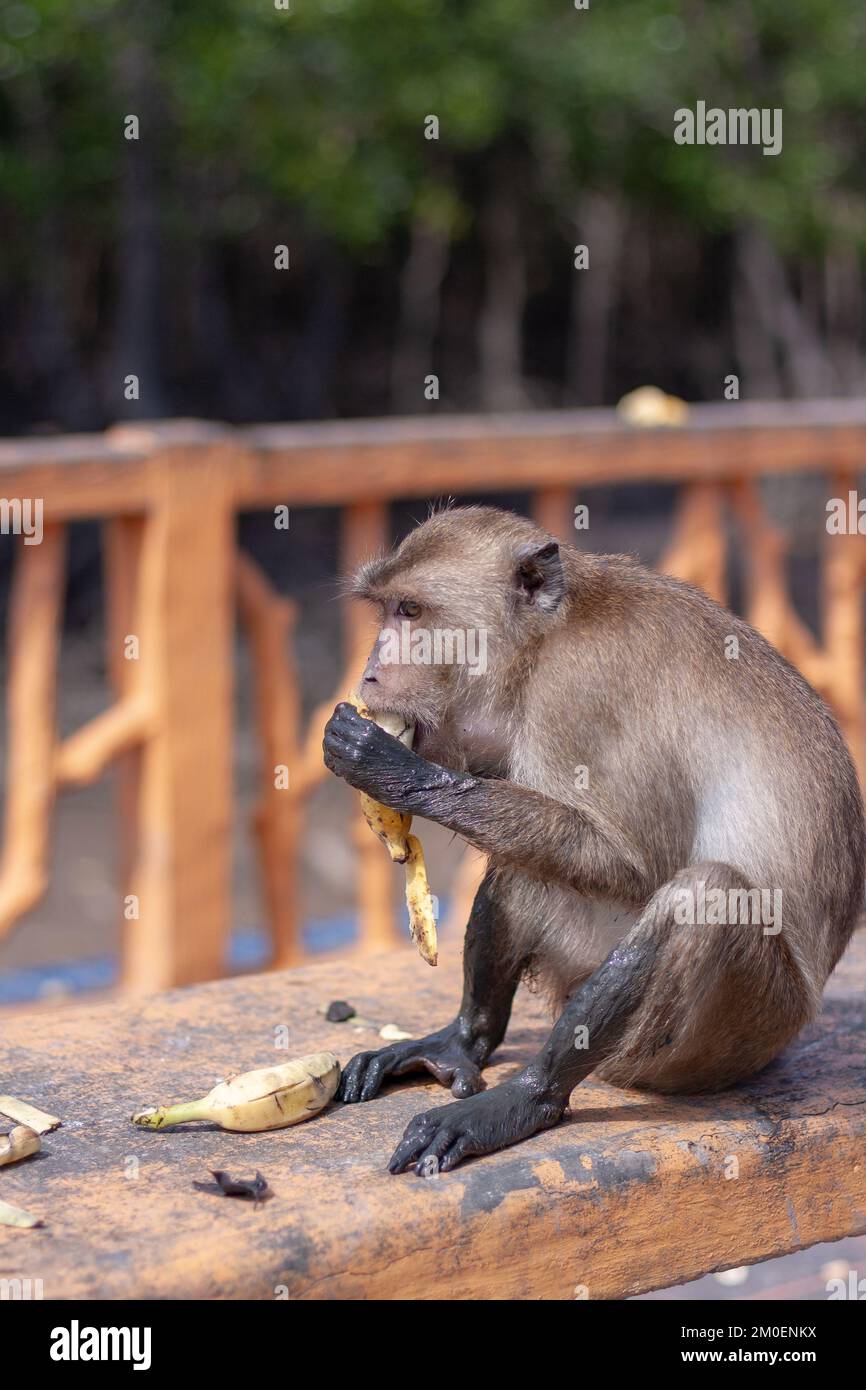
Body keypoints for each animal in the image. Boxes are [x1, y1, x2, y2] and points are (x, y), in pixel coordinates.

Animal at [323, 504, 865, 1176]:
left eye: (411, 611)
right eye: (387, 611)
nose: (370, 673)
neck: (544, 642)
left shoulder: (581, 696)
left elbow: (636, 863)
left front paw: (396, 771)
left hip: (738, 1038)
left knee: (706, 894)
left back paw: (534, 1097)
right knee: (526, 865)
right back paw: (464, 1041)